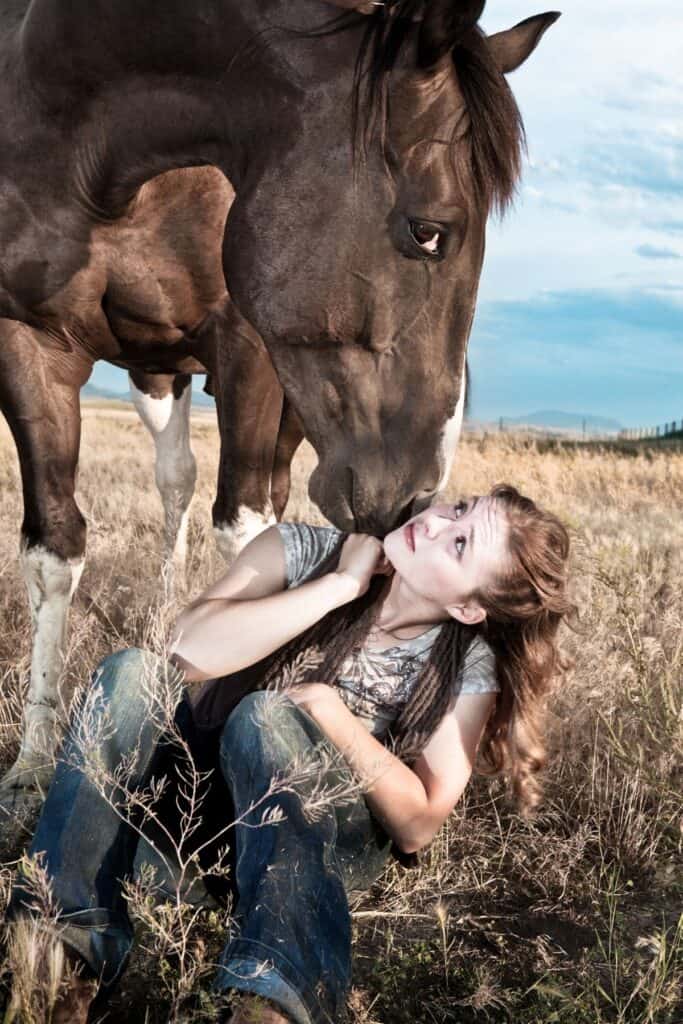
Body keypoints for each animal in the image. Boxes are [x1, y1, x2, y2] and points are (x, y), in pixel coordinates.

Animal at [0, 0, 559, 801]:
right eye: (428, 232)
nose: (417, 495)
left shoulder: (251, 350)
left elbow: (245, 524)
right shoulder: (26, 340)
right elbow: (53, 549)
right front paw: (31, 765)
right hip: (157, 376)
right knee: (175, 479)